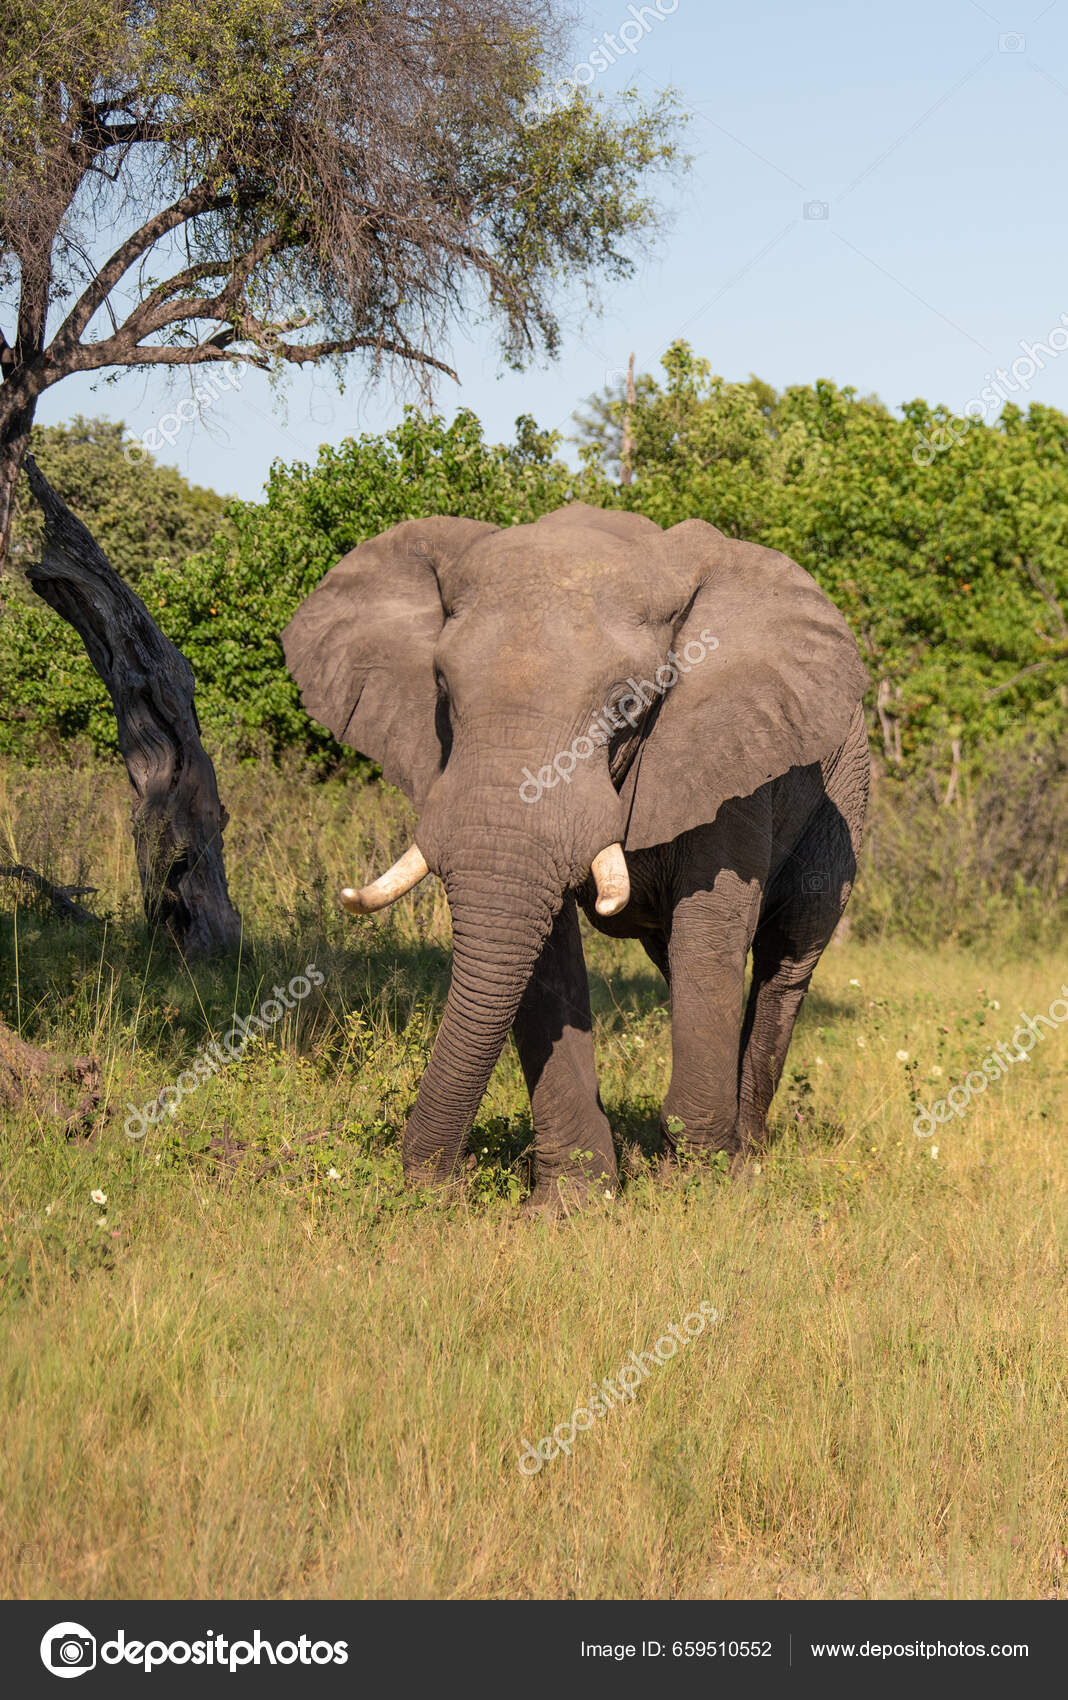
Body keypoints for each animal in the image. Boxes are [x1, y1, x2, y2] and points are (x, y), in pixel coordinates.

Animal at [282, 502, 869, 1209]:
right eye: (442, 689)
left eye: (626, 705)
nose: (441, 1187)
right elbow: (543, 953)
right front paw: (573, 1207)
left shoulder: (732, 753)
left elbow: (710, 932)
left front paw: (704, 1192)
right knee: (675, 962)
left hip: (844, 795)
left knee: (785, 959)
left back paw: (748, 1153)